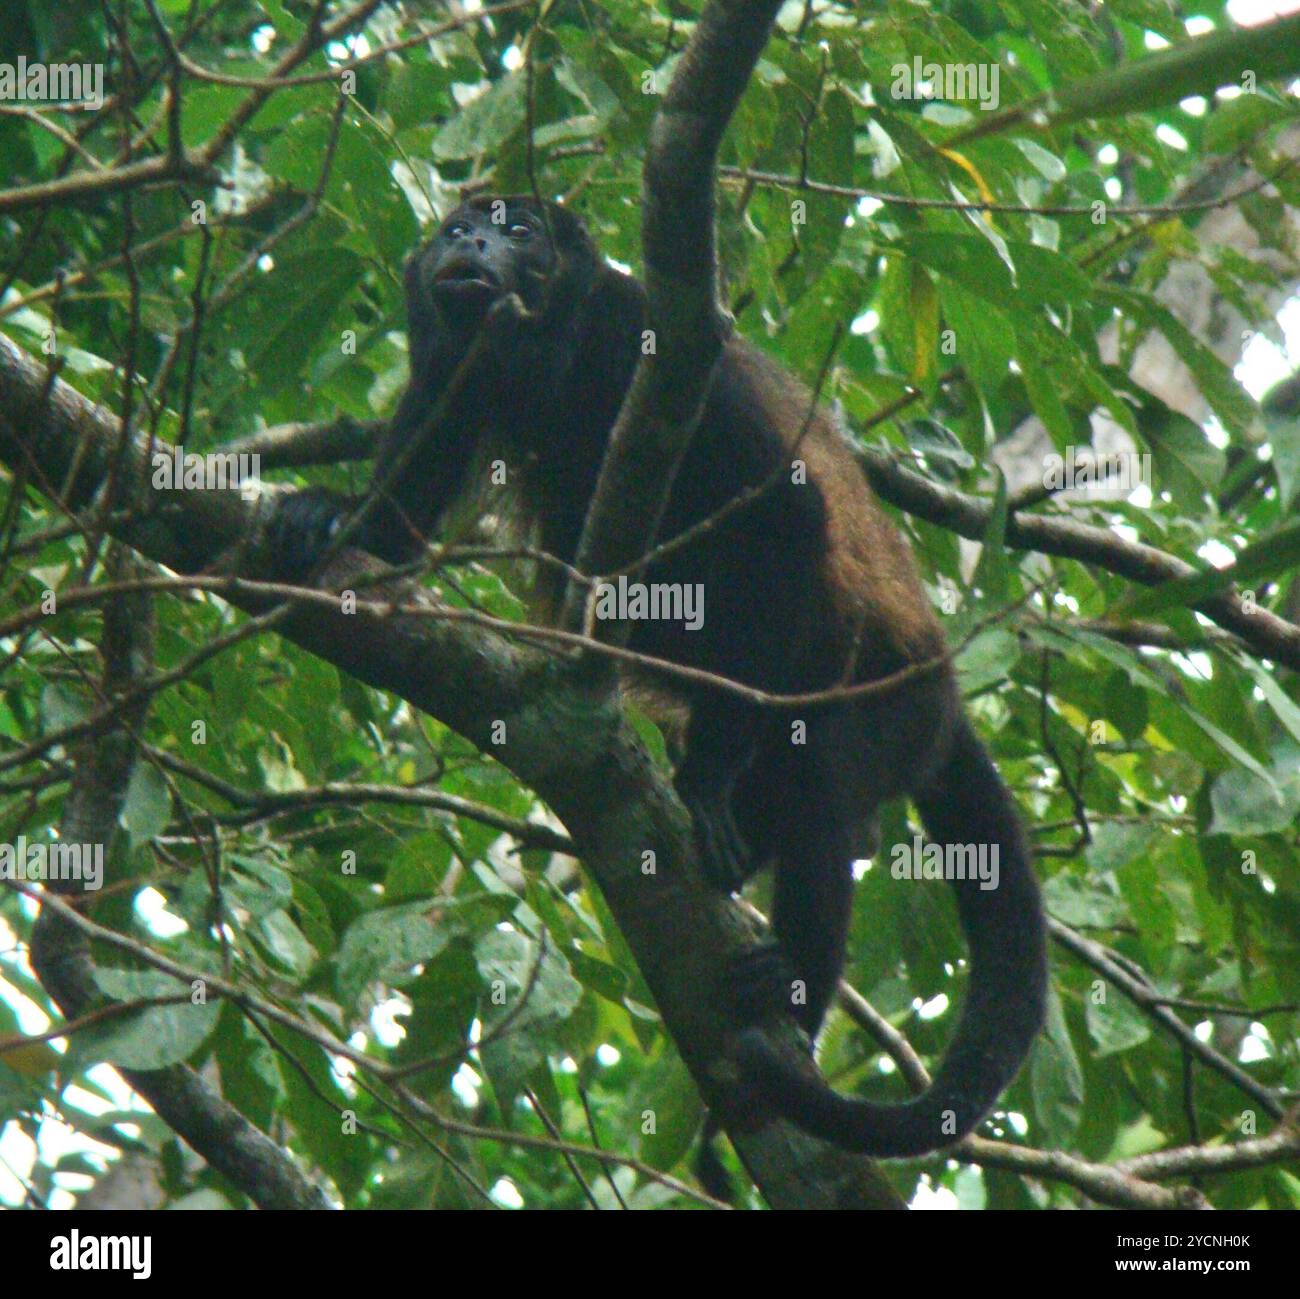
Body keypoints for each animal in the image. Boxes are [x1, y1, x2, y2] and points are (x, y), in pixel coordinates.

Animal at [267, 194, 1048, 1160]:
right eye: (458, 227)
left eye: (518, 231)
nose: (471, 241)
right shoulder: (451, 368)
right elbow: (393, 534)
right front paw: (322, 512)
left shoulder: (651, 337)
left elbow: (787, 516)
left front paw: (705, 780)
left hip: (891, 707)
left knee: (820, 789)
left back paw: (793, 985)